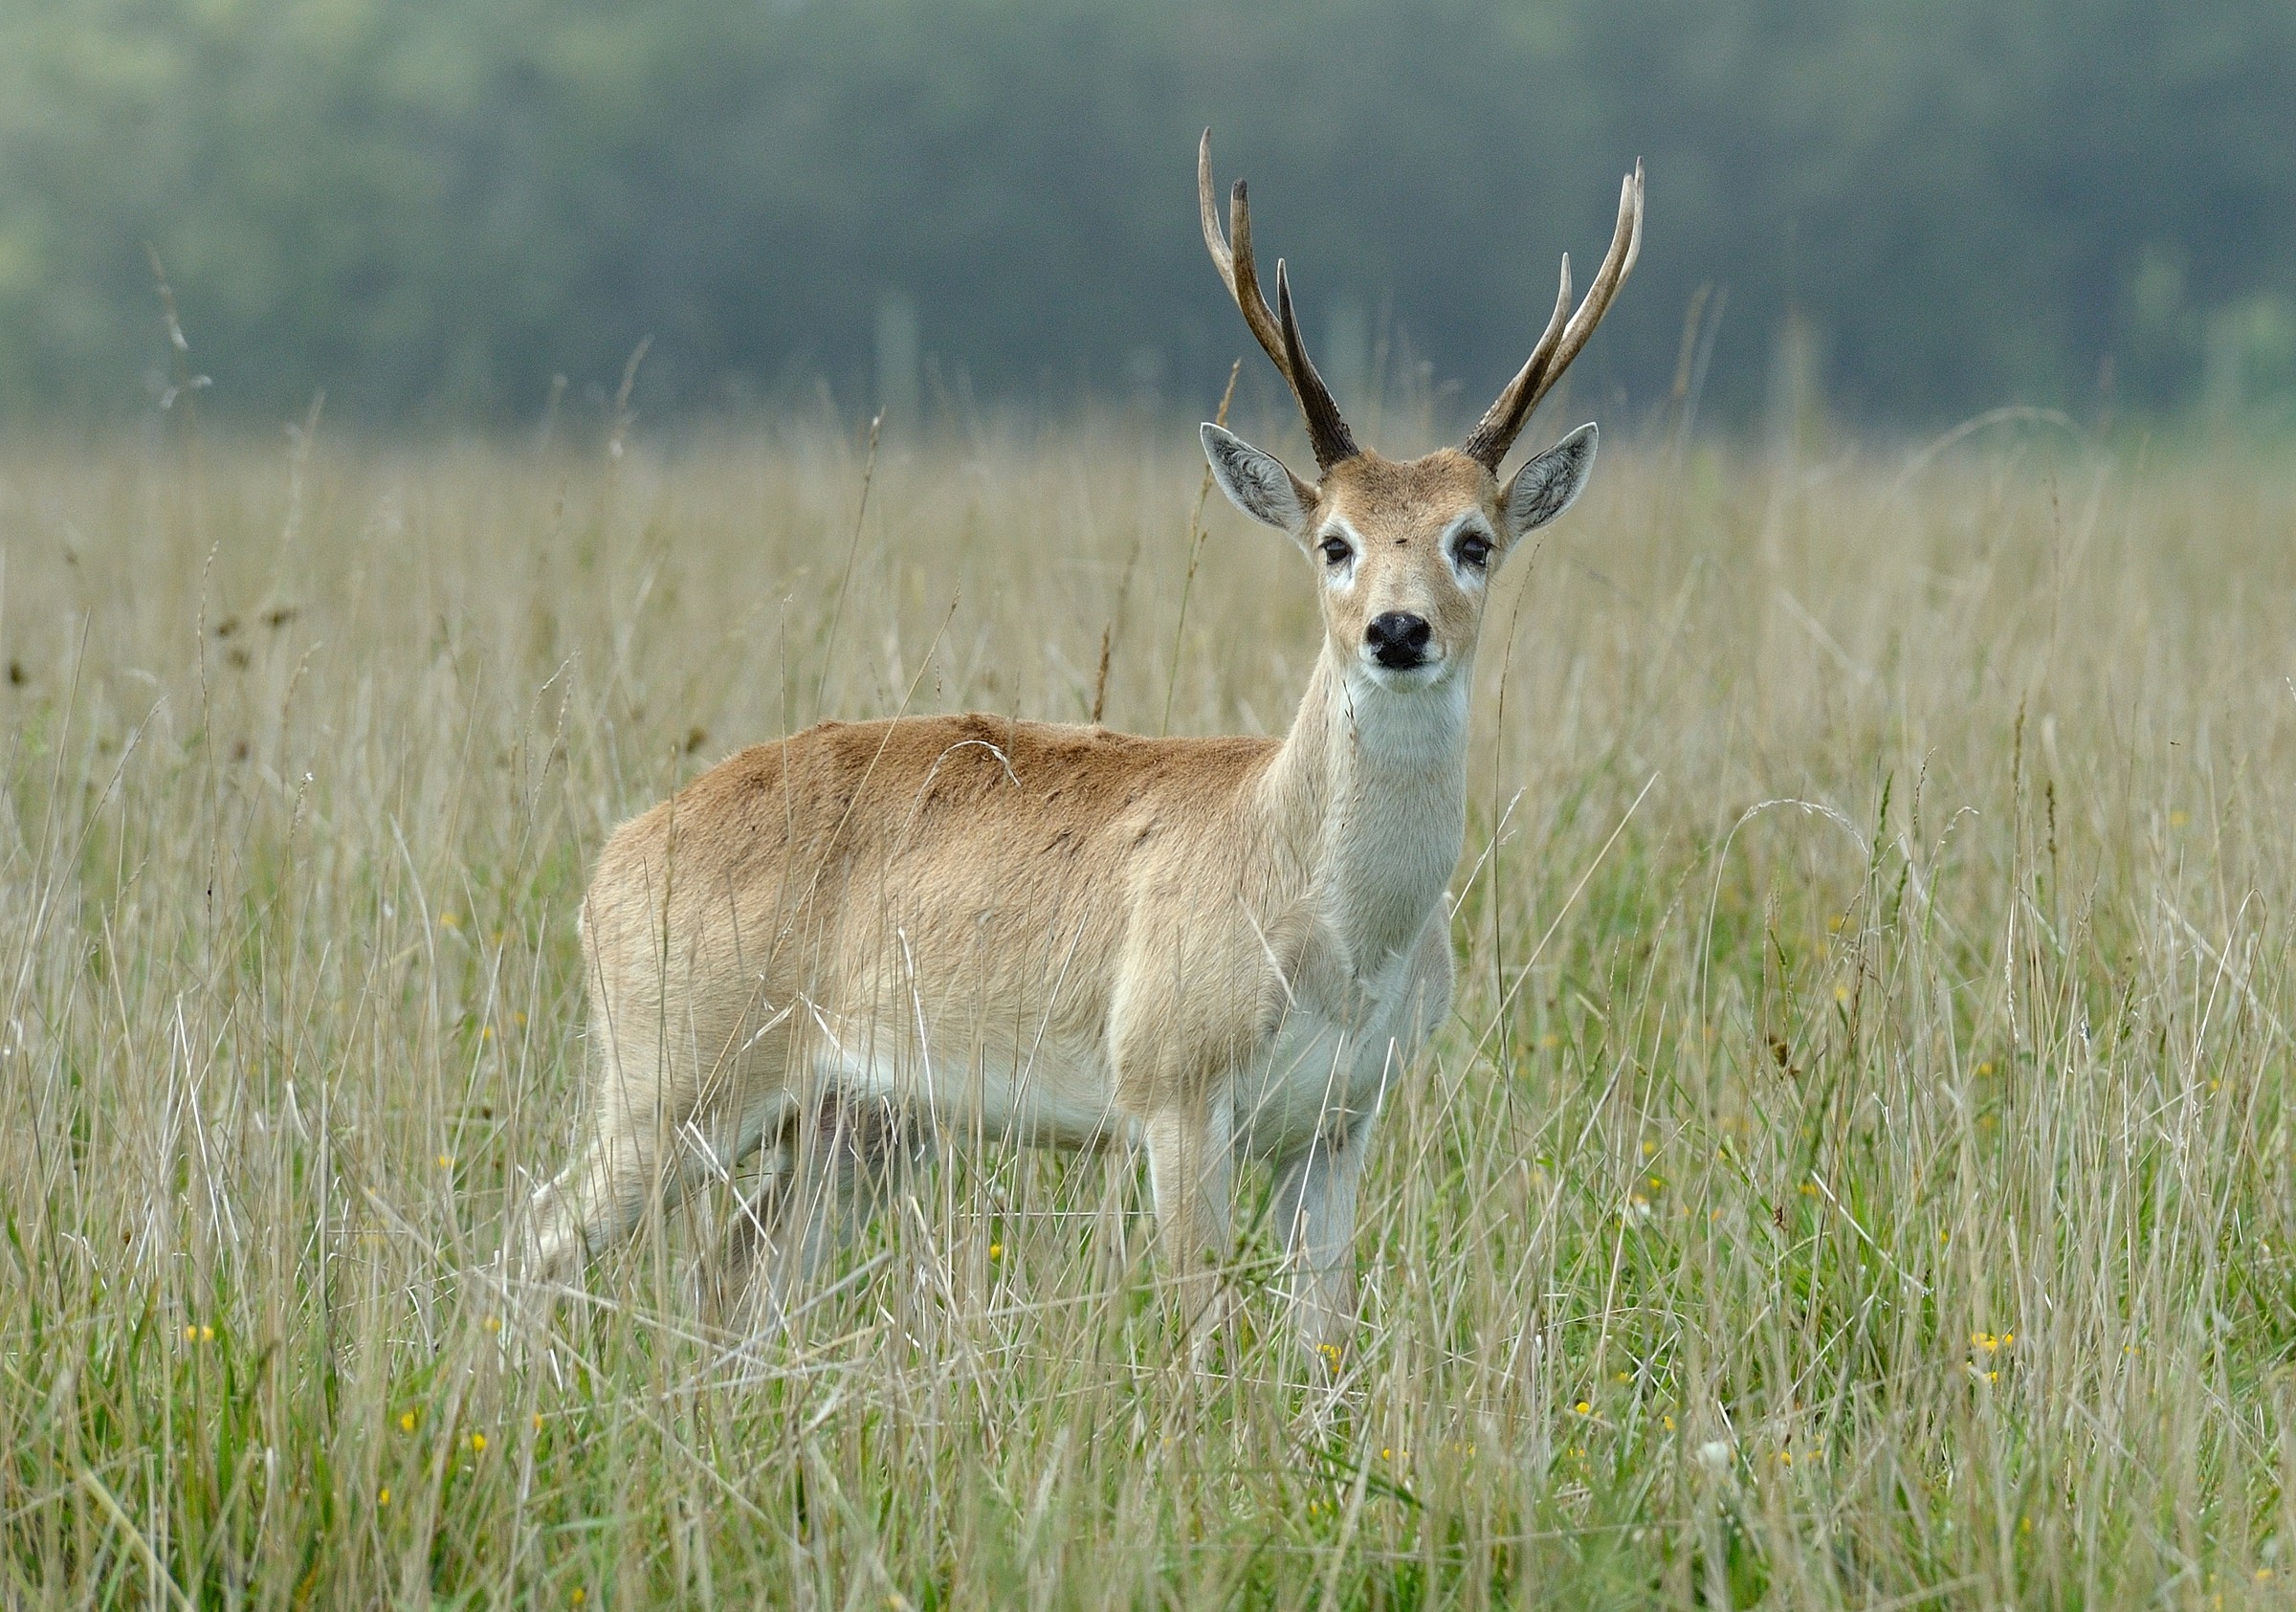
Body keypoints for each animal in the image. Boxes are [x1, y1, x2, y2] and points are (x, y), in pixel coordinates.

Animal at [515, 131, 1643, 1356]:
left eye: (1474, 539)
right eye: (1334, 542)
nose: (1398, 629)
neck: (1332, 919)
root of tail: (613, 858)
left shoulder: (1339, 1121)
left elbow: (1325, 1340)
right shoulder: (1171, 1091)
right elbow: (1204, 1333)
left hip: (857, 1120)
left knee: (734, 1273)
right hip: (669, 1075)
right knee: (542, 1233)